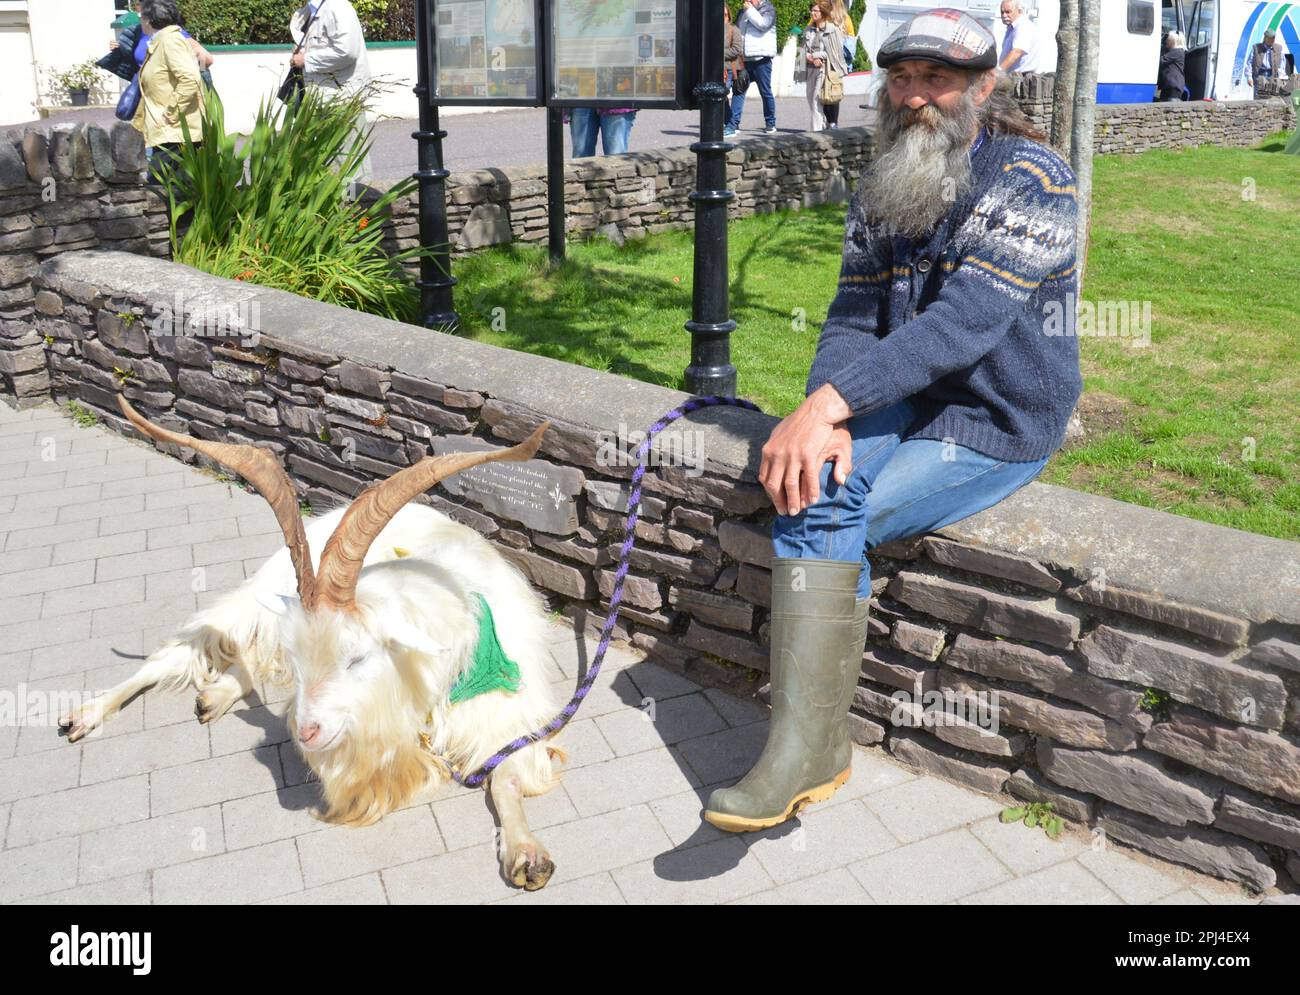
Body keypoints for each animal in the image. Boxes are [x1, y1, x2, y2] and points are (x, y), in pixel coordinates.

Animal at [58, 395, 569, 890]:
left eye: (357, 657)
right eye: (301, 658)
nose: (306, 734)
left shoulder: (510, 714)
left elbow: (506, 776)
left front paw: (527, 856)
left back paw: (214, 696)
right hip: (262, 591)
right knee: (185, 647)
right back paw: (87, 714)